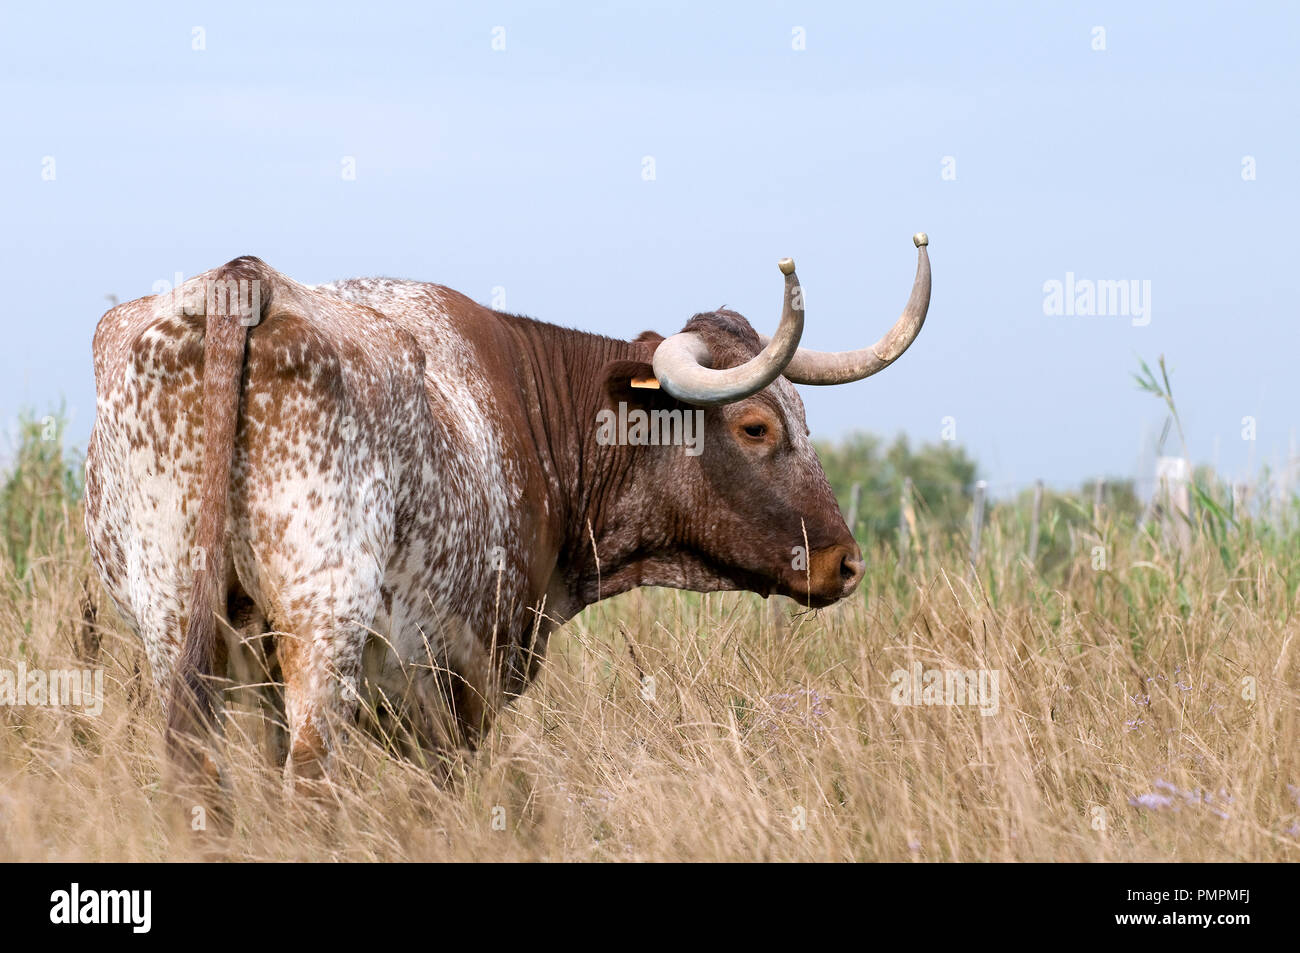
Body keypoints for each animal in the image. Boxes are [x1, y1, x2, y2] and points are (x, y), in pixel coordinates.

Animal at [84, 234, 931, 787]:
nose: (846, 561)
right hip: (324, 623)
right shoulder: (460, 691)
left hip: (176, 619)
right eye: (756, 427)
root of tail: (246, 281)